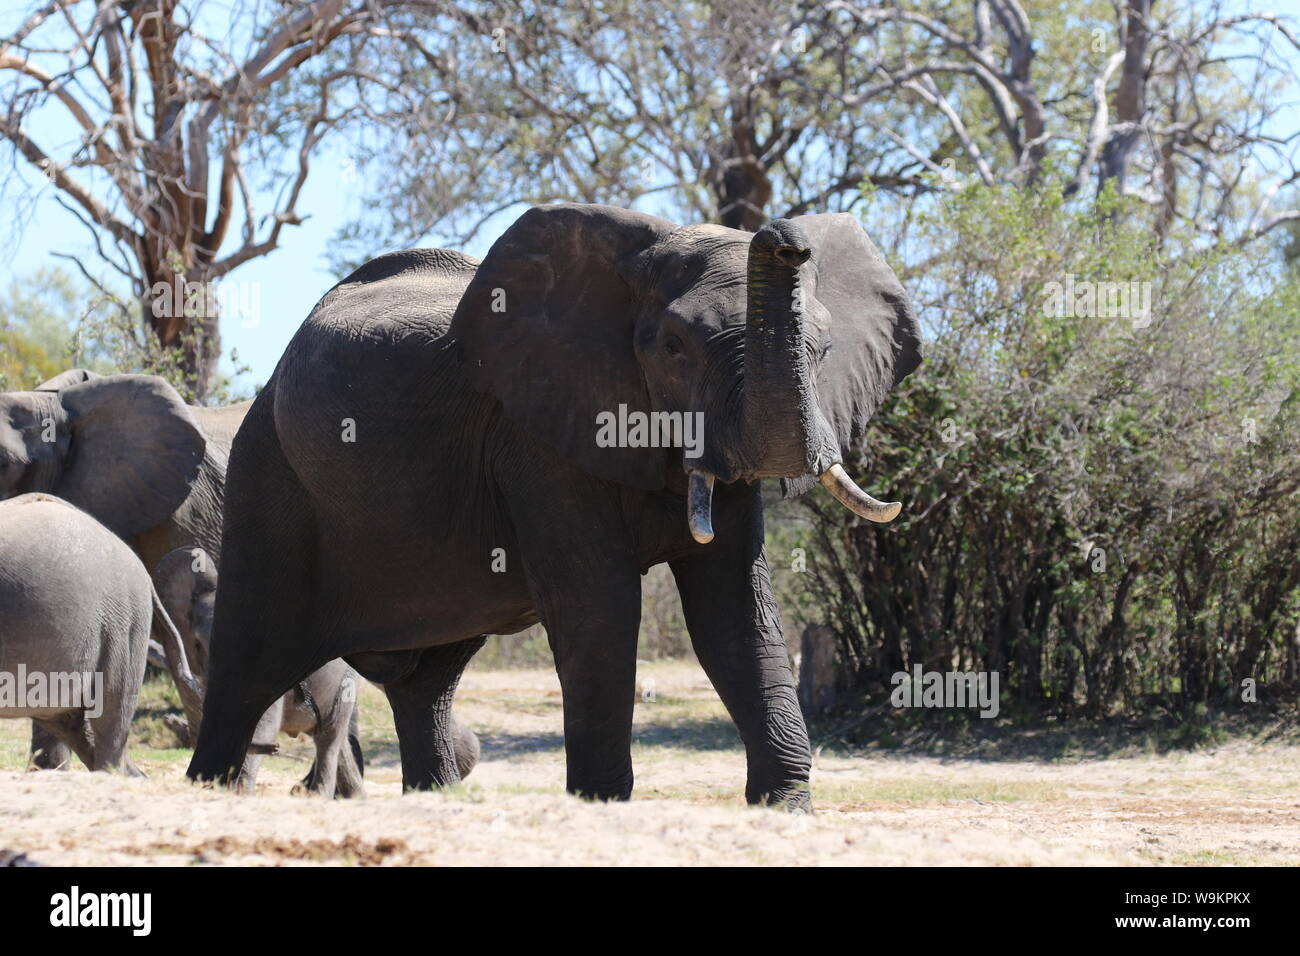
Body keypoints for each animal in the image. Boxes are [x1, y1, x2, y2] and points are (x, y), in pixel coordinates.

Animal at [188, 203, 921, 808]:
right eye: (674, 348)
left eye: (822, 350)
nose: (785, 238)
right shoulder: (537, 440)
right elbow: (601, 606)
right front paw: (602, 803)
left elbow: (734, 610)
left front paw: (784, 805)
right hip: (268, 468)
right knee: (249, 659)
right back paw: (211, 786)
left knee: (427, 679)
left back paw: (438, 799)